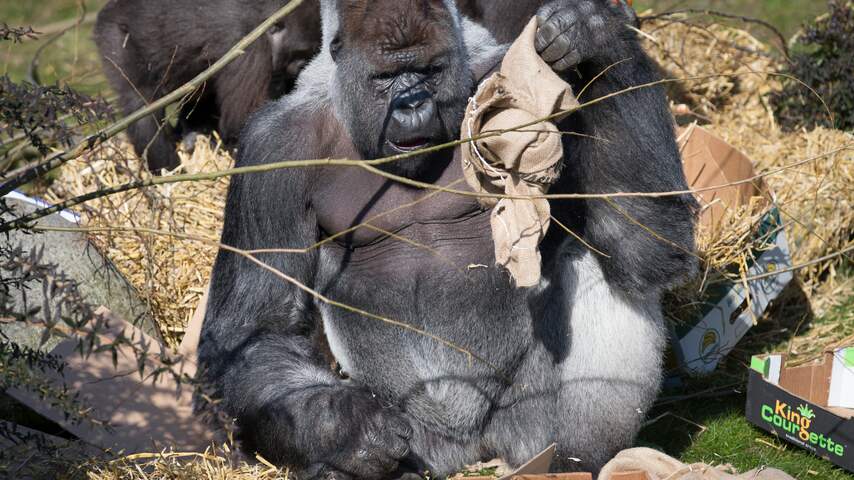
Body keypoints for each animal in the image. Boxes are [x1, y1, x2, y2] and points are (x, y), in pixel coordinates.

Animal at [94, 0, 321, 171]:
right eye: (301, 53)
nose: (303, 67)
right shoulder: (248, 47)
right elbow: (241, 123)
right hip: (114, 37)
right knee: (140, 106)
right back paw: (167, 169)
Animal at [198, 0, 697, 478]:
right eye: (388, 78)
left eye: (429, 71)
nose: (412, 105)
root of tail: (471, 454)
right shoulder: (270, 152)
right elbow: (258, 332)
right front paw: (351, 427)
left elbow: (644, 242)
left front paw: (594, 37)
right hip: (426, 444)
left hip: (521, 432)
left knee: (598, 261)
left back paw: (578, 457)